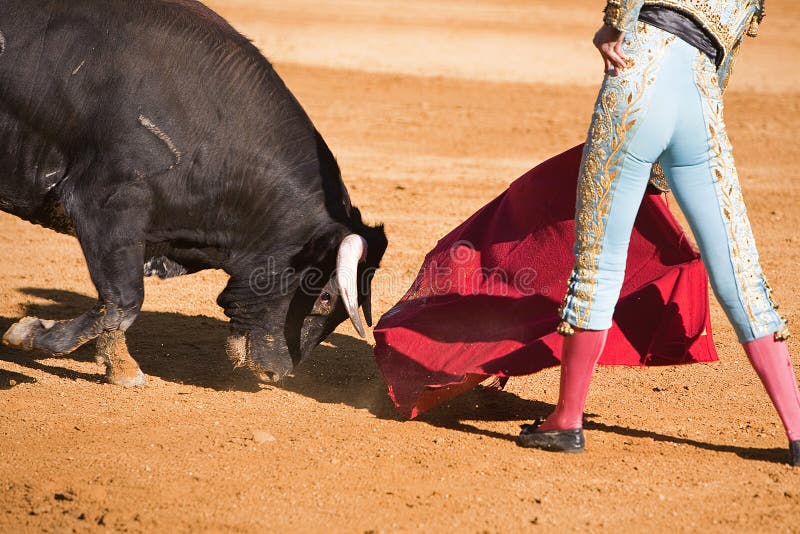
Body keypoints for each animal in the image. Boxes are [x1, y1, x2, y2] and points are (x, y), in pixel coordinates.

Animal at [0, 0, 388, 385]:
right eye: (324, 297)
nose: (276, 373)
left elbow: (118, 302)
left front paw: (122, 369)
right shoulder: (107, 204)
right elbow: (124, 299)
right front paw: (29, 333)